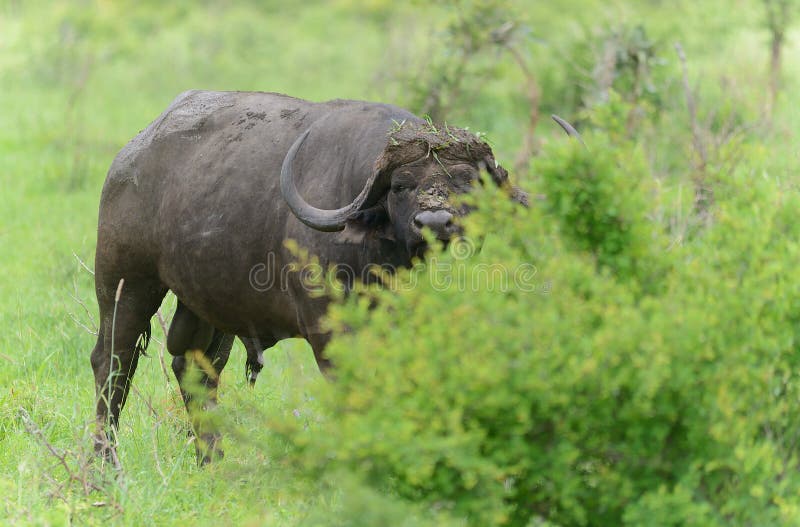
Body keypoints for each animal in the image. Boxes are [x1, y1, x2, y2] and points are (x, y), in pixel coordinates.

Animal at [90, 90, 527, 465]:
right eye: (401, 186)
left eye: (467, 182)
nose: (435, 222)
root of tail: (131, 154)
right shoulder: (329, 331)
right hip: (125, 280)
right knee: (113, 362)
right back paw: (104, 464)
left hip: (207, 303)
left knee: (196, 368)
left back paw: (212, 460)